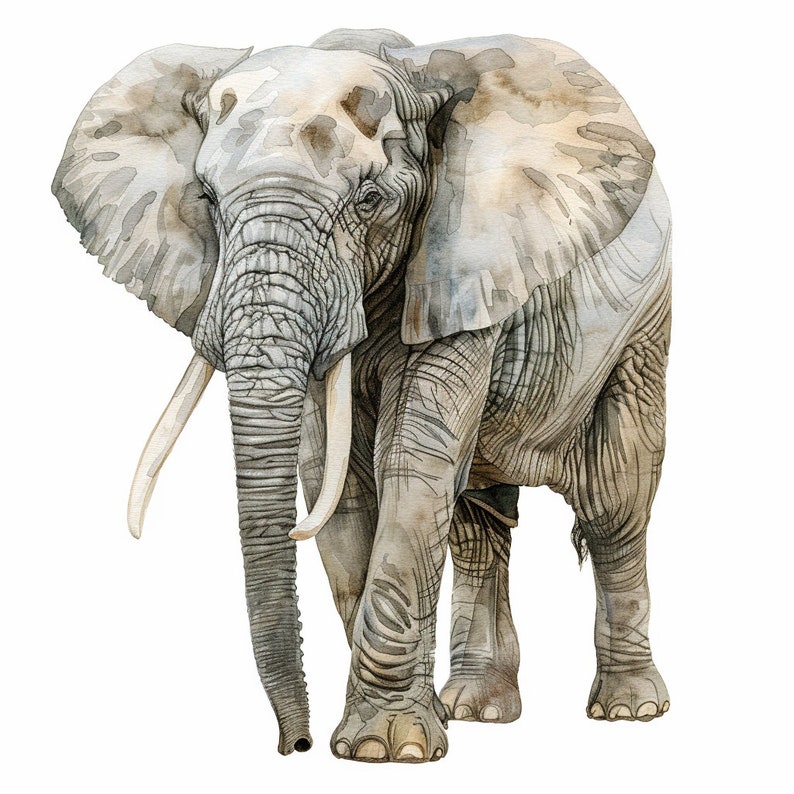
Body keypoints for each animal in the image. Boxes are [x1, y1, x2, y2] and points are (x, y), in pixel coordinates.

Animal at [53, 28, 672, 763]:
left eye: (371, 200)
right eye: (204, 197)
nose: (295, 745)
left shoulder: (463, 266)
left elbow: (410, 463)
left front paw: (386, 749)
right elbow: (337, 479)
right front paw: (407, 729)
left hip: (644, 323)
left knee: (615, 497)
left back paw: (630, 710)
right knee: (477, 523)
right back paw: (477, 709)